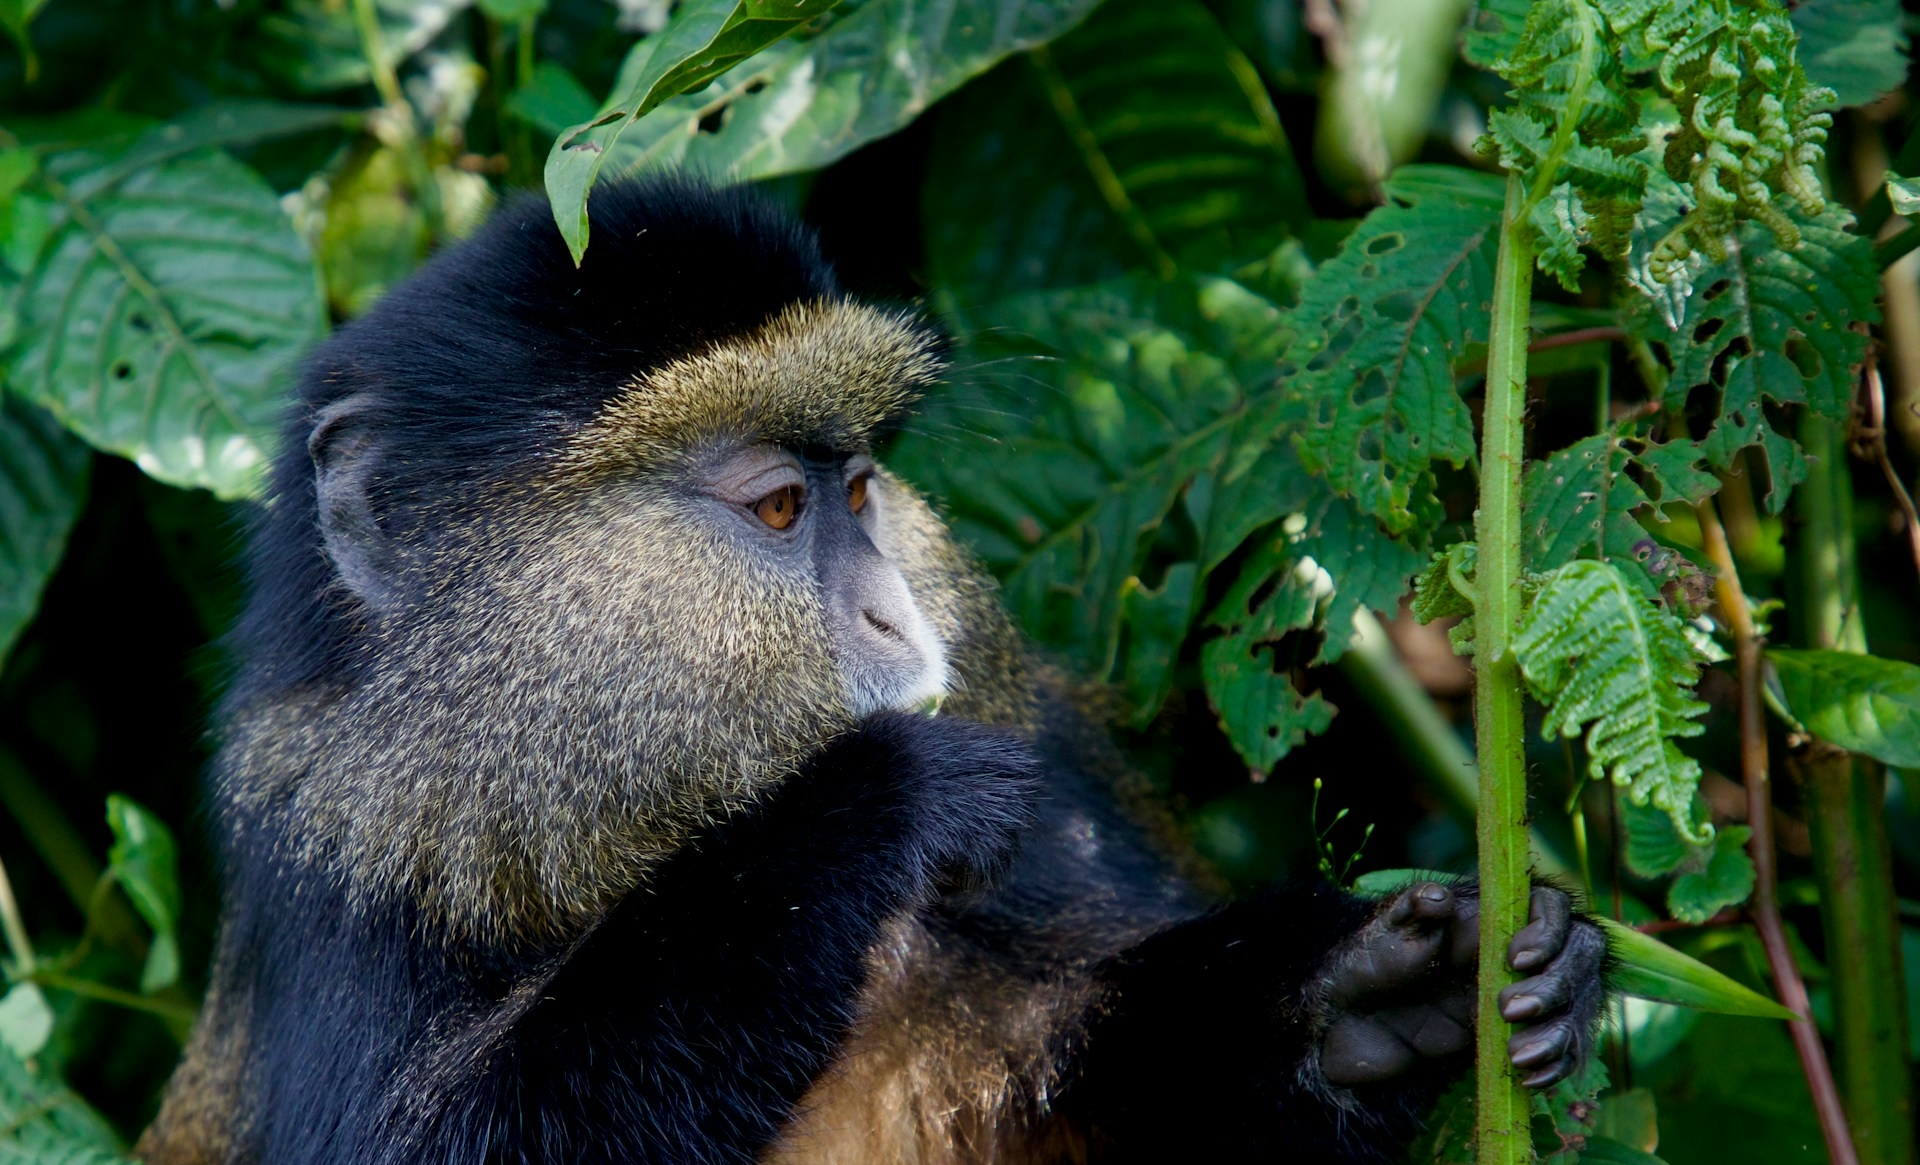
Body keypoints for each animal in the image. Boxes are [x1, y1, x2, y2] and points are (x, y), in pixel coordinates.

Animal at [136, 177, 1609, 1165]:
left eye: (859, 486)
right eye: (783, 508)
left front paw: (1358, 997)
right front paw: (871, 805)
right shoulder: (340, 866)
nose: (900, 619)